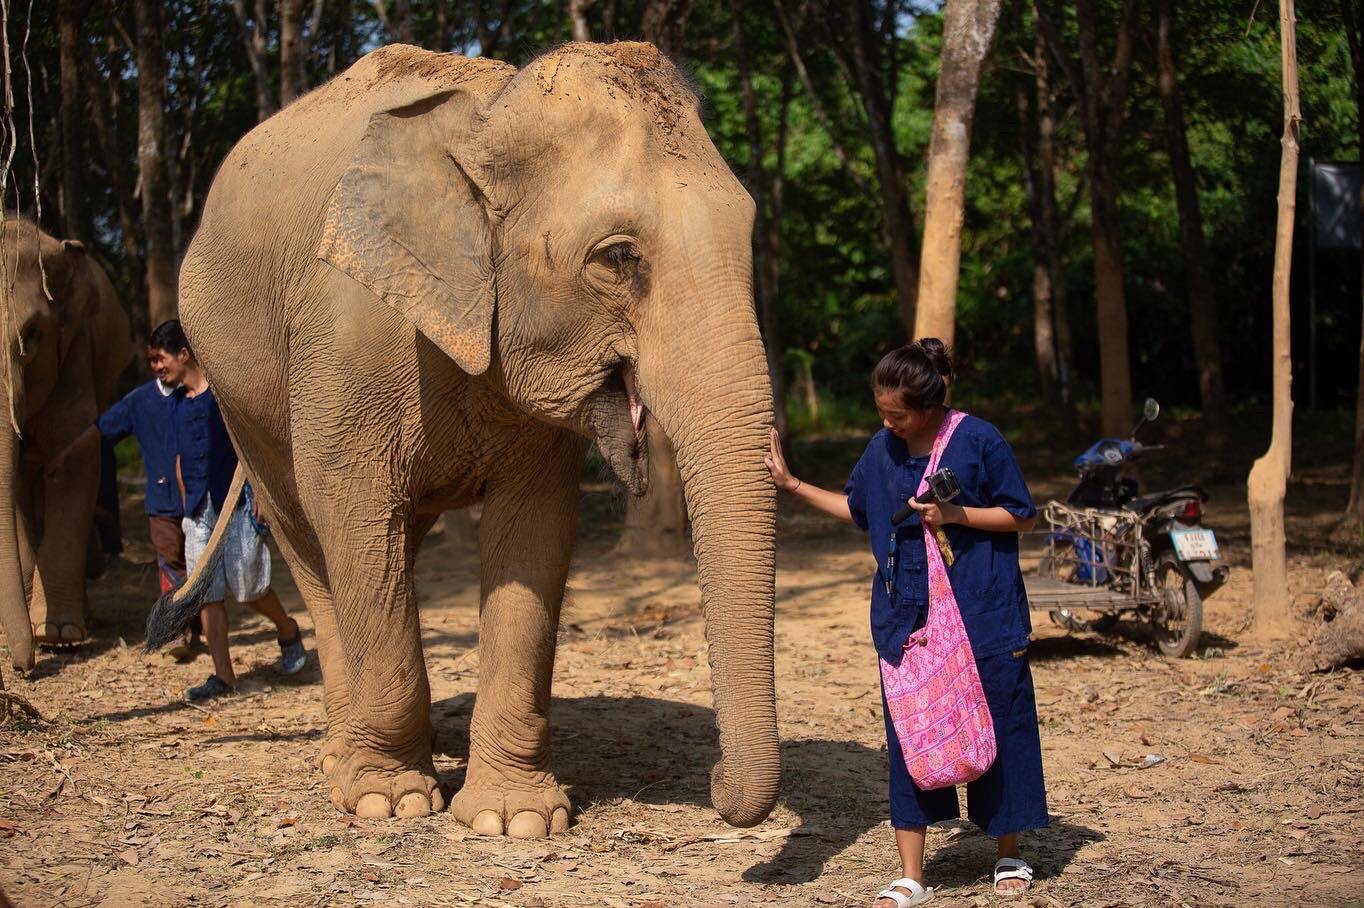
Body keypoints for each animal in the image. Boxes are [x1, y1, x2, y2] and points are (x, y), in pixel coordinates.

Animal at [0, 218, 133, 671]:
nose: (23, 667)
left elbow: (75, 460)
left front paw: (59, 634)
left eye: (33, 335)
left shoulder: (74, 352)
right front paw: (41, 631)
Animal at [164, 41, 778, 837]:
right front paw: (388, 802)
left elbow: (534, 532)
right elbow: (353, 513)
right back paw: (342, 760)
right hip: (237, 393)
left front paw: (513, 821)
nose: (714, 783)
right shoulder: (345, 342)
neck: (487, 113)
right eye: (618, 257)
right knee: (308, 537)